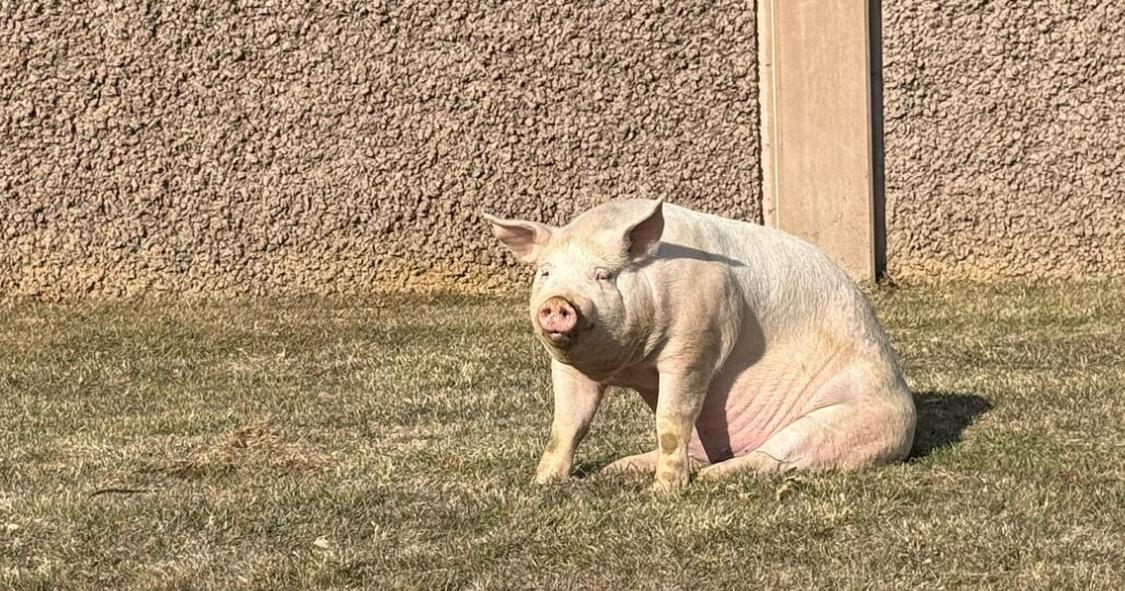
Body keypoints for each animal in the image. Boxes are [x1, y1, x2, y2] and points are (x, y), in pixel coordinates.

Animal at [483, 199, 915, 492]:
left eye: (603, 275)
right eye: (546, 272)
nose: (559, 303)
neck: (629, 366)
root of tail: (907, 416)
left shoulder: (695, 345)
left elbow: (672, 418)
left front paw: (662, 493)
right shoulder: (568, 368)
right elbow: (568, 423)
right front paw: (541, 483)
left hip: (839, 422)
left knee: (774, 458)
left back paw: (707, 477)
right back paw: (616, 469)